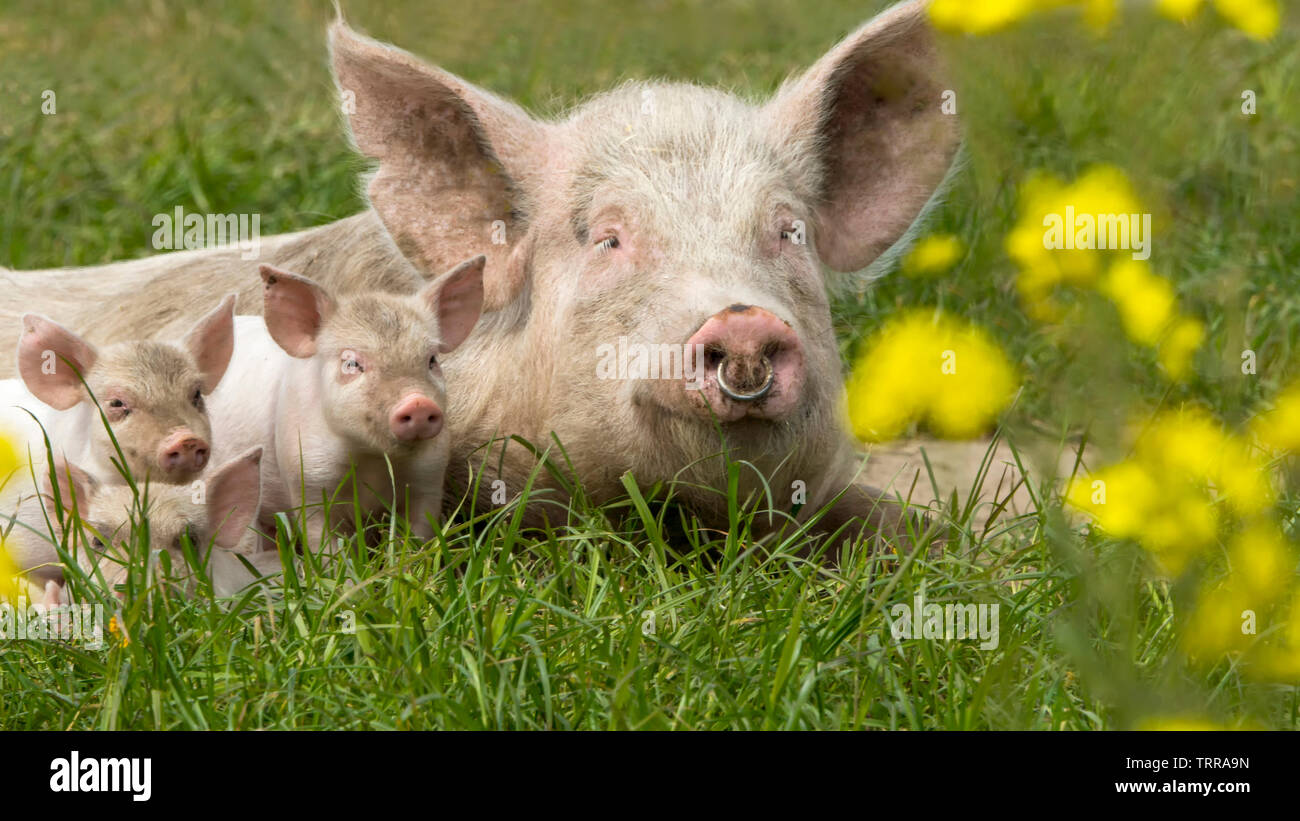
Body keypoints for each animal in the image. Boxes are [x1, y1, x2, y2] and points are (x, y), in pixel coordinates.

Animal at [204, 256, 484, 550]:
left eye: (432, 360)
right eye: (351, 363)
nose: (418, 403)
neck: (372, 458)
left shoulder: (429, 475)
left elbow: (418, 534)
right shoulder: (307, 476)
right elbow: (321, 539)